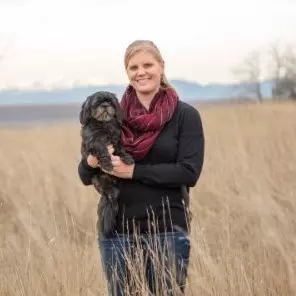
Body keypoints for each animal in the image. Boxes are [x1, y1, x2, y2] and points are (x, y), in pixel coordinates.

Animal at [79, 90, 134, 236]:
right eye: (97, 102)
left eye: (110, 101)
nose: (104, 105)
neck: (104, 124)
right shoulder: (93, 140)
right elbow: (101, 148)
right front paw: (107, 164)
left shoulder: (116, 138)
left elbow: (120, 147)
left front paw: (126, 157)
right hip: (99, 180)